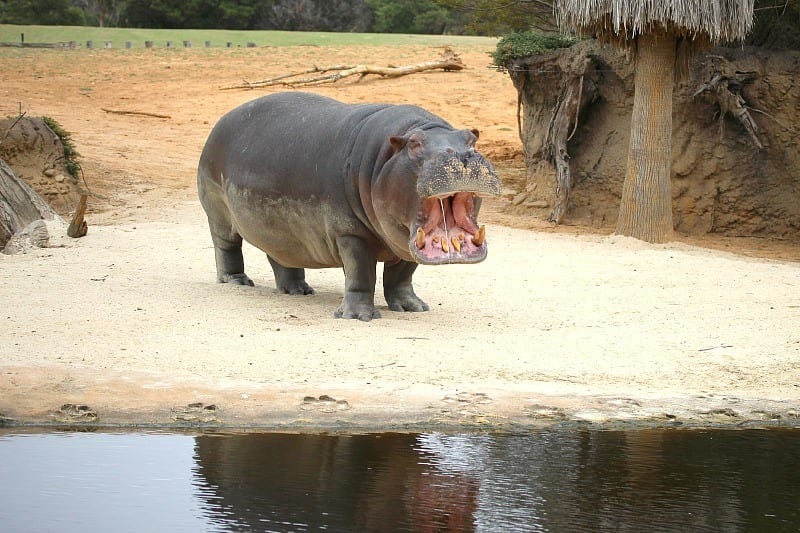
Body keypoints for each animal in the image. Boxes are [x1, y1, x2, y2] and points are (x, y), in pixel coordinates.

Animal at [198, 91, 500, 320]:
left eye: (471, 140)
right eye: (415, 144)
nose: (461, 155)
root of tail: (221, 120)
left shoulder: (403, 240)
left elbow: (401, 276)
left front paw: (413, 307)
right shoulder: (350, 233)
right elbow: (360, 273)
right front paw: (359, 316)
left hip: (280, 230)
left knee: (281, 257)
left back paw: (299, 290)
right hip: (218, 212)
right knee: (226, 246)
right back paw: (237, 281)